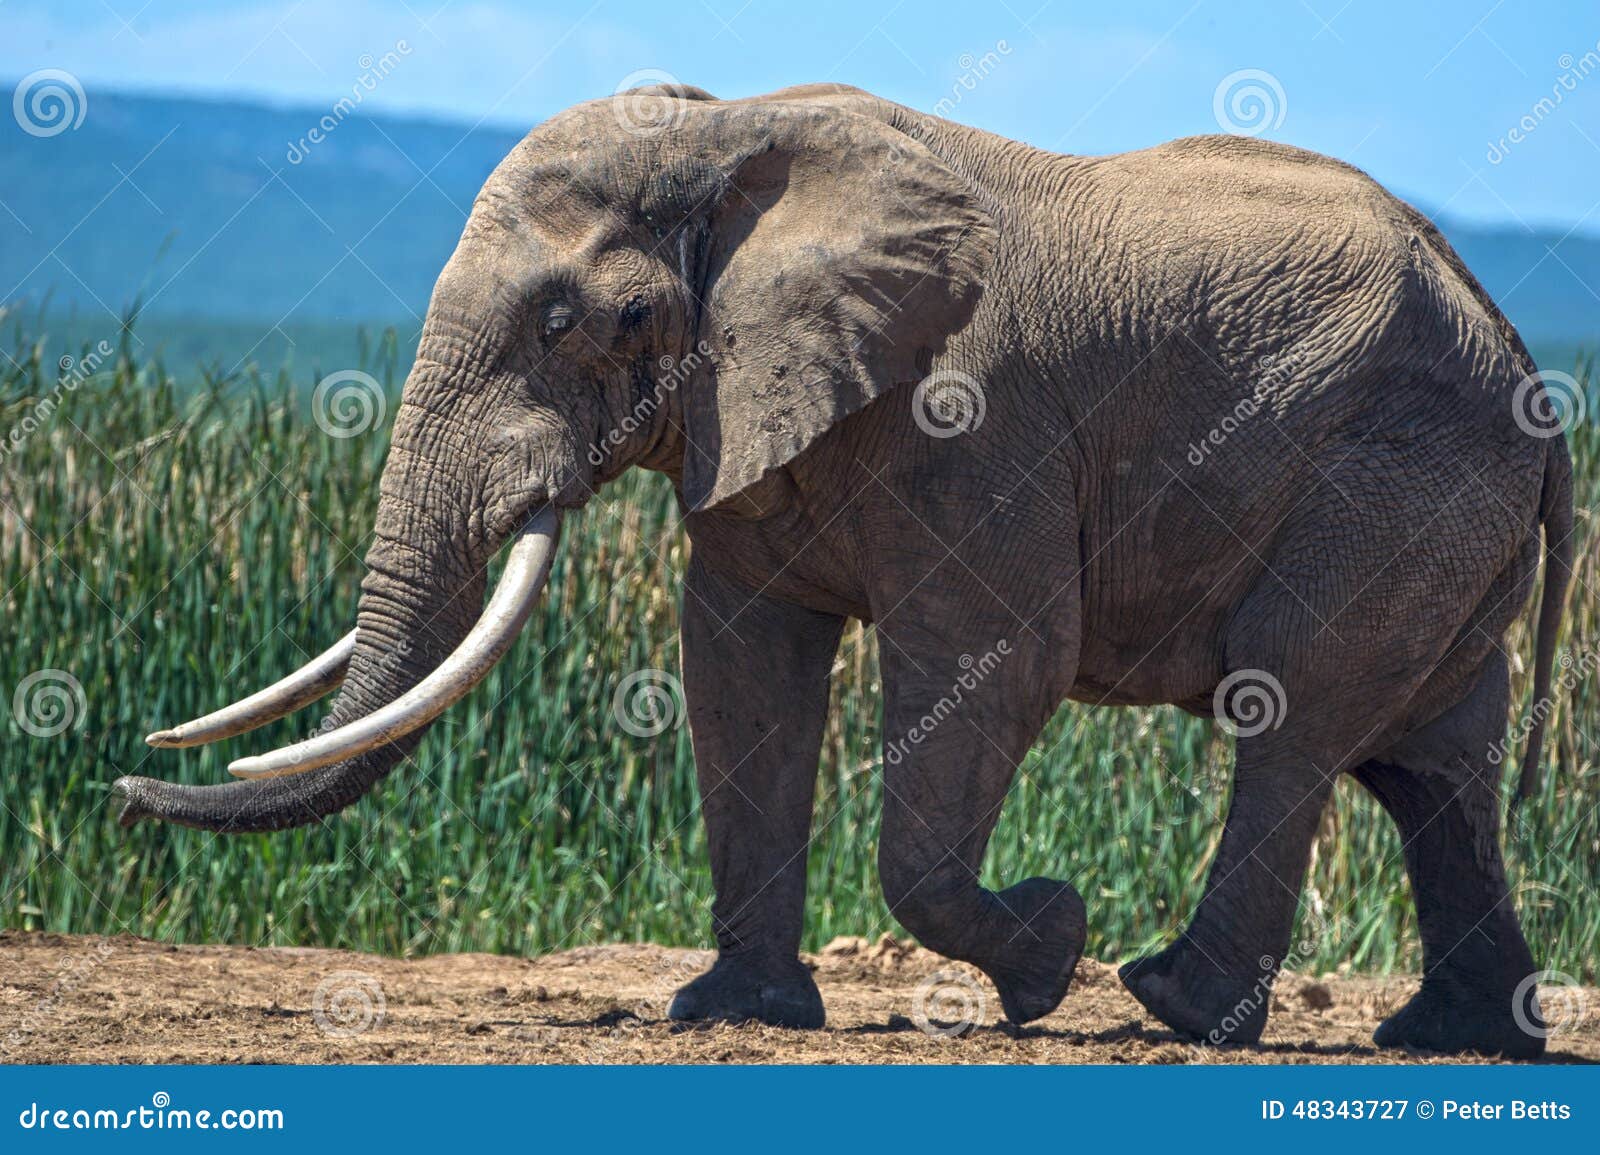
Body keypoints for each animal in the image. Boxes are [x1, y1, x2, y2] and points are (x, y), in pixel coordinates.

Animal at [116, 82, 1574, 1058]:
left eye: (579, 319)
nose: (126, 785)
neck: (727, 136)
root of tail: (1523, 358)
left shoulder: (973, 418)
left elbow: (999, 664)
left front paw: (1047, 950)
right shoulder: (748, 412)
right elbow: (740, 665)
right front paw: (730, 1013)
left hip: (1391, 484)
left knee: (1293, 711)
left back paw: (1171, 1005)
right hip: (1441, 510)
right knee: (1429, 761)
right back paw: (1452, 1037)